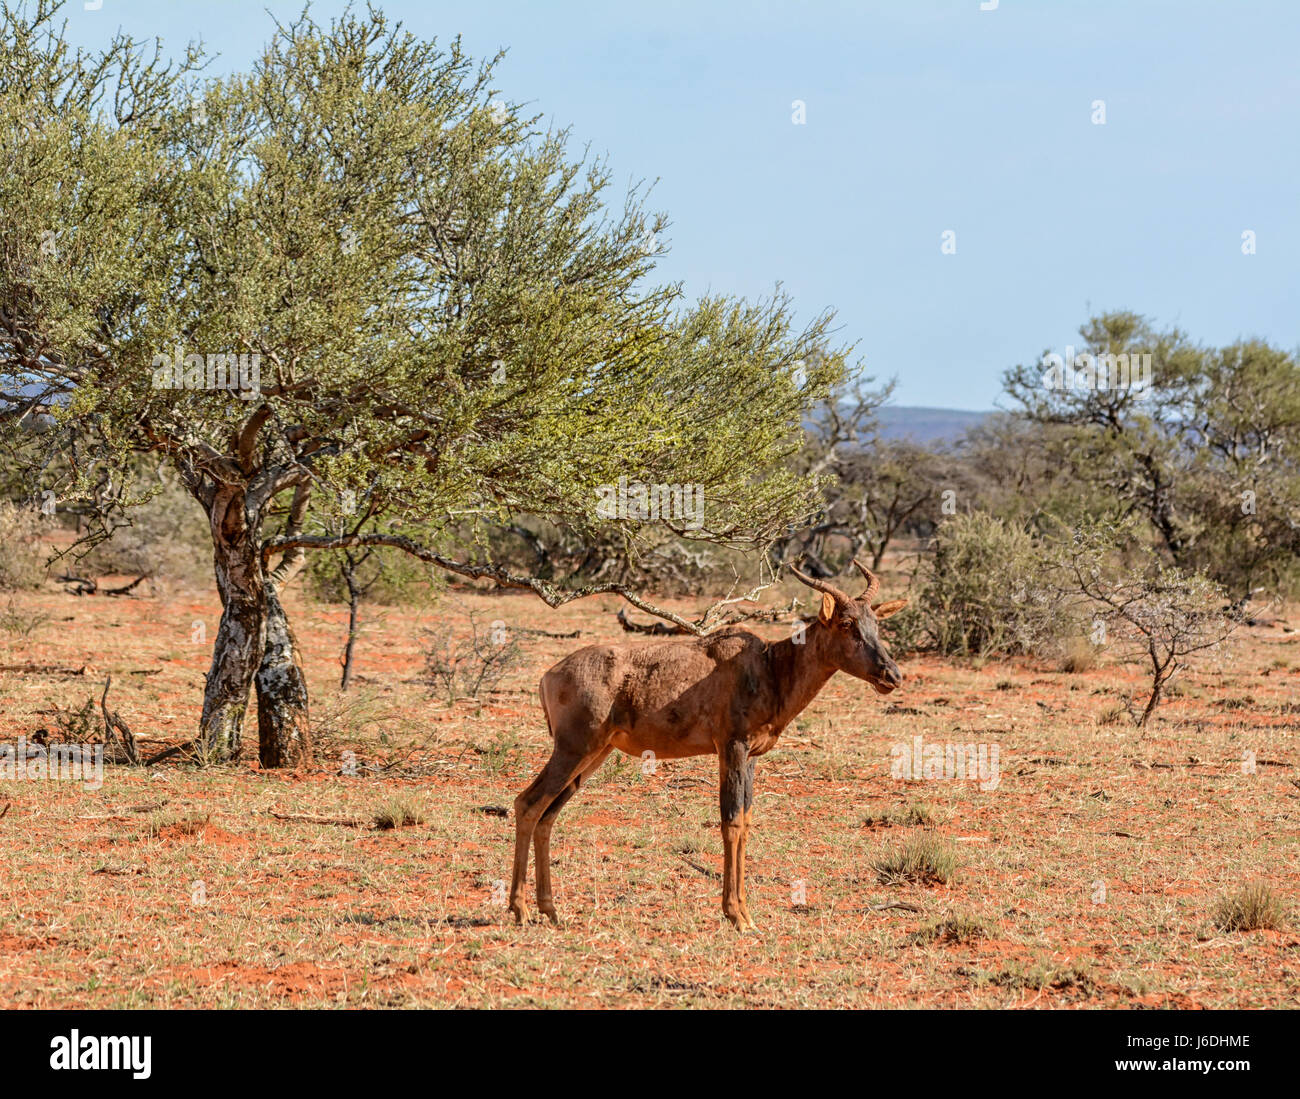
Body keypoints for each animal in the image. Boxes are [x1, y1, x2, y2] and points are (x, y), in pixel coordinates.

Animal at [508, 559, 907, 931]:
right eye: (846, 623)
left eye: (875, 623)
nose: (892, 676)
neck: (768, 665)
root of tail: (549, 675)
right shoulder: (731, 747)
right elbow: (731, 821)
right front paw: (737, 916)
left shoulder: (750, 756)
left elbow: (746, 819)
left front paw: (744, 912)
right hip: (573, 748)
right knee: (528, 803)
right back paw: (520, 910)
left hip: (594, 754)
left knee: (548, 814)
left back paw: (549, 910)